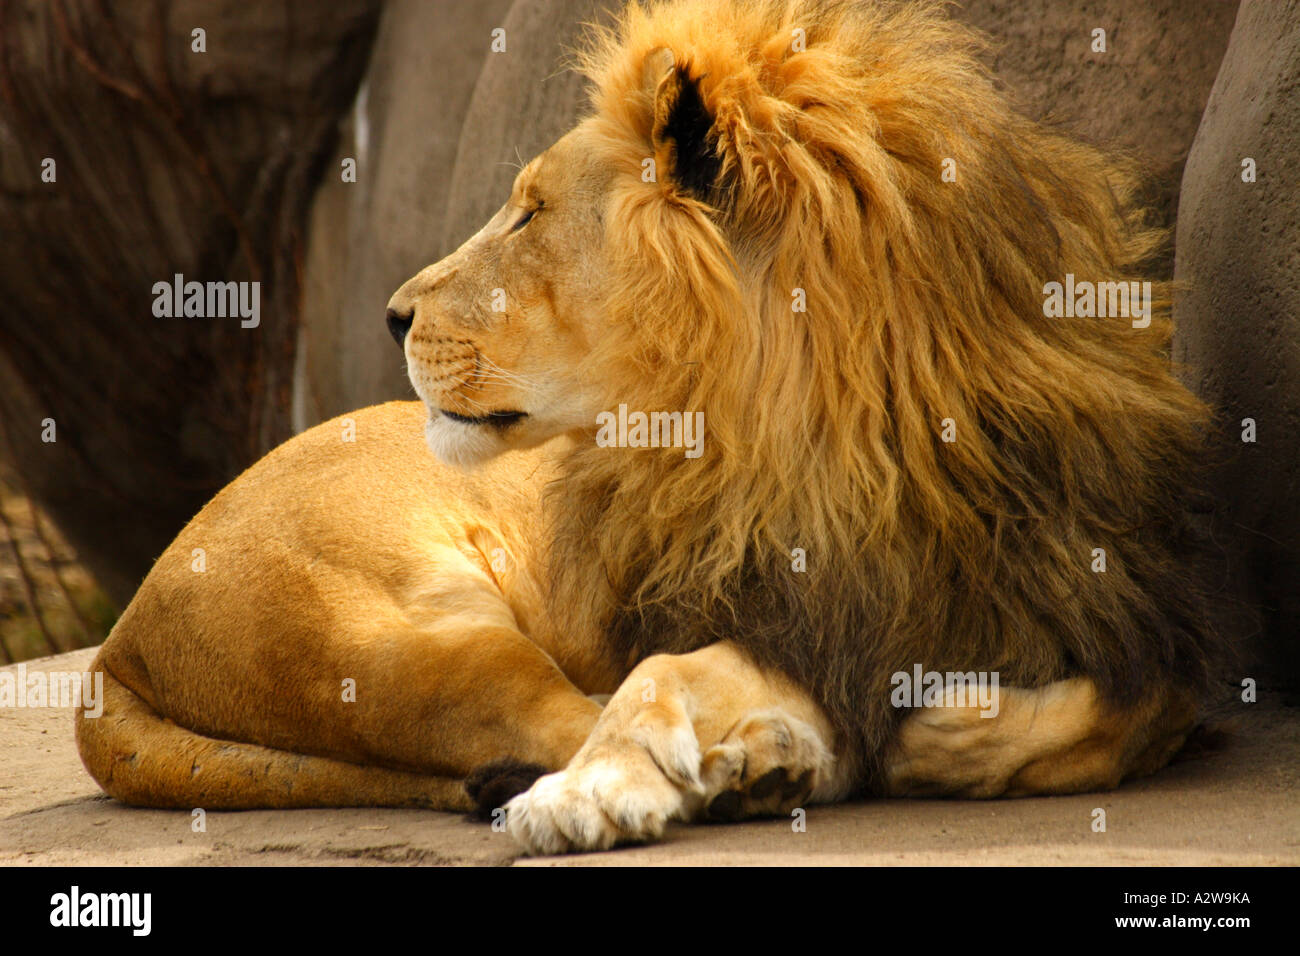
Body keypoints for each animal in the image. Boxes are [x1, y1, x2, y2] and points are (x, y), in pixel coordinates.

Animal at [76, 0, 1225, 855]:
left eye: (530, 212)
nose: (393, 313)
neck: (847, 438)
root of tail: (114, 649)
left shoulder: (1117, 602)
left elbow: (1118, 713)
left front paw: (929, 728)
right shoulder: (763, 606)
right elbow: (664, 674)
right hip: (408, 636)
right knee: (558, 716)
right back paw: (746, 766)